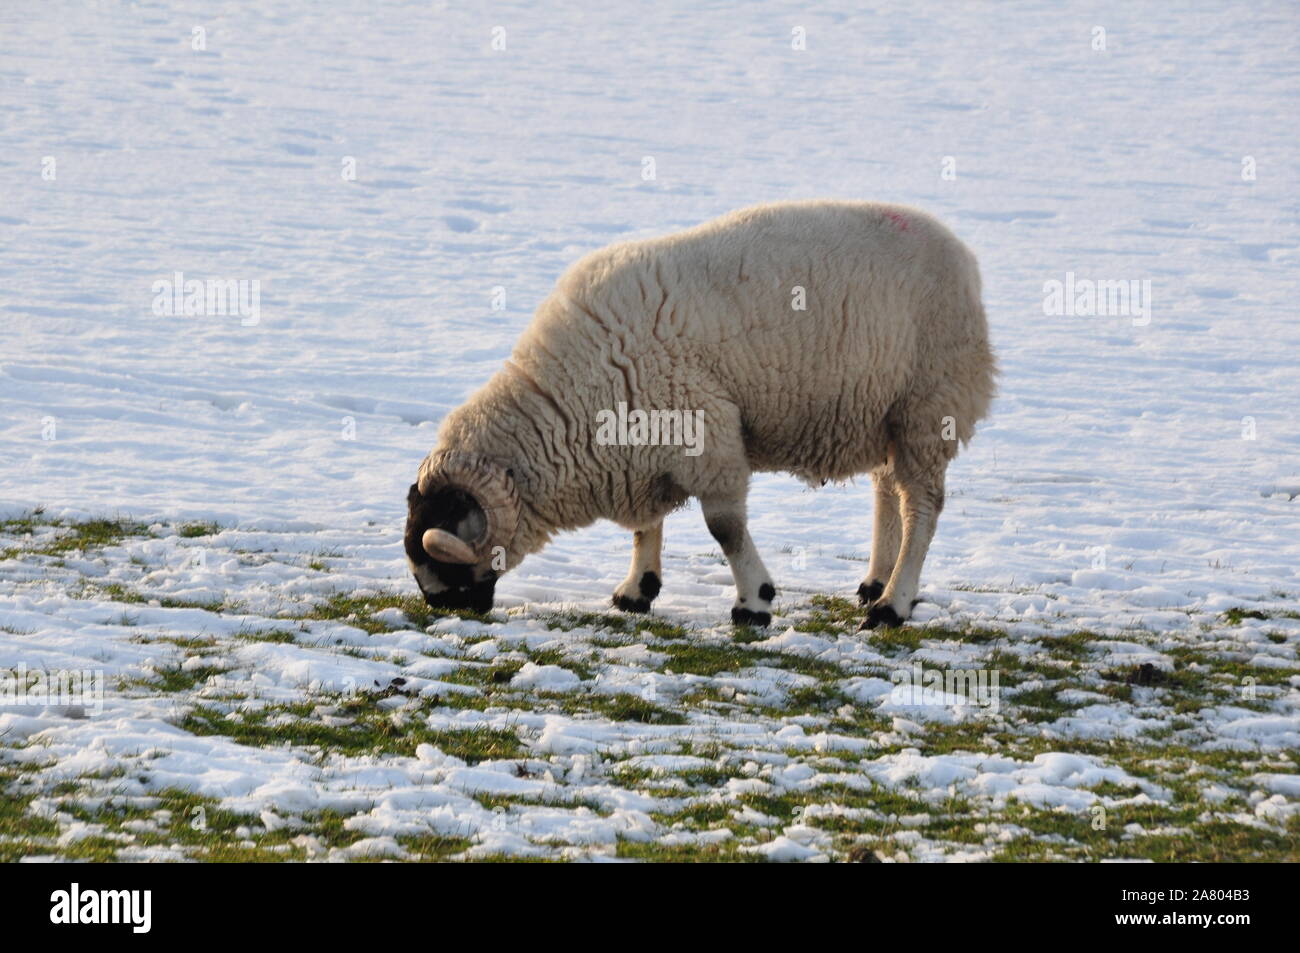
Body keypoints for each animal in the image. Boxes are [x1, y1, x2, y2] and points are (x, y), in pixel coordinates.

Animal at [405, 200, 996, 628]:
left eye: (441, 547)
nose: (442, 610)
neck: (569, 395)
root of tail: (963, 257)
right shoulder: (641, 439)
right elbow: (645, 526)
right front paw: (637, 590)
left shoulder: (707, 437)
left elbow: (725, 528)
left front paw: (754, 602)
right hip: (885, 411)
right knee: (887, 488)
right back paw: (874, 583)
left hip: (929, 407)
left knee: (922, 505)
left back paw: (892, 605)